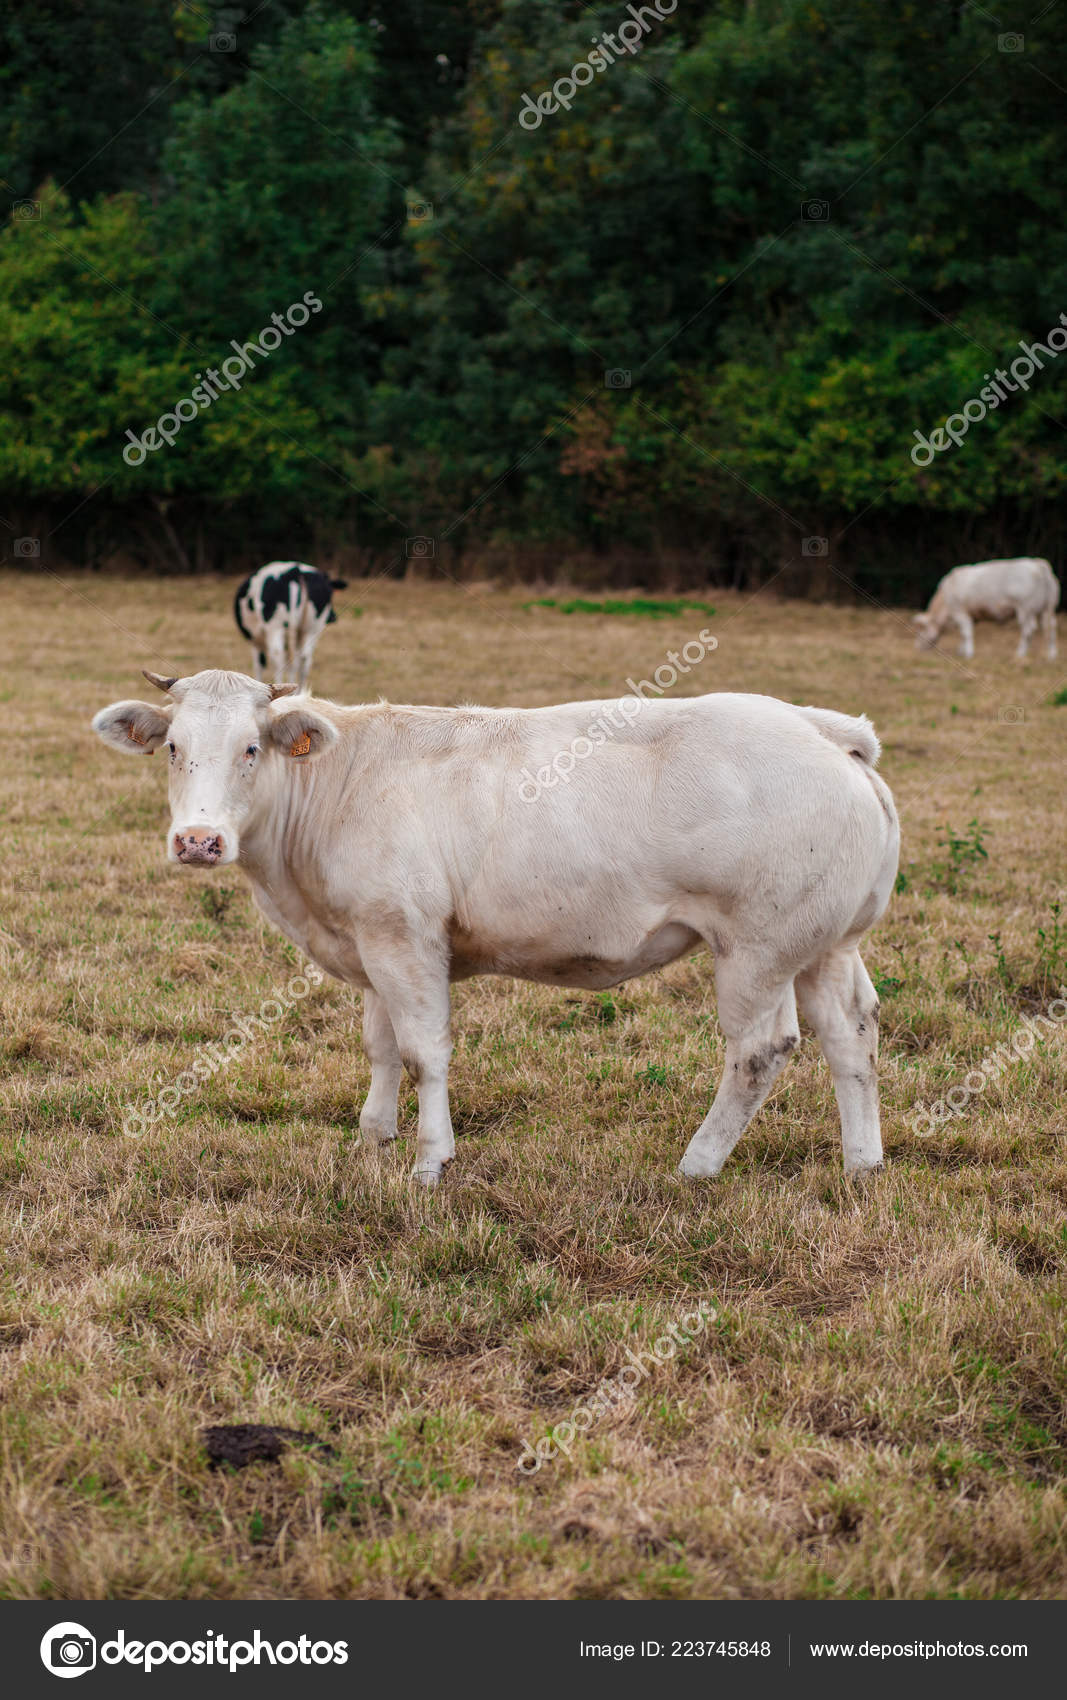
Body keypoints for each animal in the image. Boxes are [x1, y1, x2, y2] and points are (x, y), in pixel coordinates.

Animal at [92, 670, 900, 1187]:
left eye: (251, 749)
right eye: (172, 748)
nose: (198, 840)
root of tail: (822, 728)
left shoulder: (405, 938)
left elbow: (423, 1051)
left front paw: (429, 1161)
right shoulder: (369, 939)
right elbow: (381, 1047)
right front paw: (372, 1139)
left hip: (755, 949)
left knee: (760, 1050)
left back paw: (696, 1166)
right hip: (827, 944)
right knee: (850, 1032)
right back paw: (862, 1164)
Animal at [234, 562, 348, 690]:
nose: (333, 617)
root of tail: (295, 570)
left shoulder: (256, 641)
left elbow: (259, 665)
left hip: (275, 627)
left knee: (279, 658)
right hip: (312, 629)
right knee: (304, 658)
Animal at [913, 557, 1059, 660]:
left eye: (921, 629)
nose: (918, 647)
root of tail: (1038, 564)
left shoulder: (959, 612)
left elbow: (966, 632)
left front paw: (968, 654)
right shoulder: (971, 615)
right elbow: (964, 634)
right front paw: (961, 650)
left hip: (1025, 609)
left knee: (1028, 630)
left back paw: (1020, 653)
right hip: (1047, 610)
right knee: (1051, 628)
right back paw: (1051, 655)